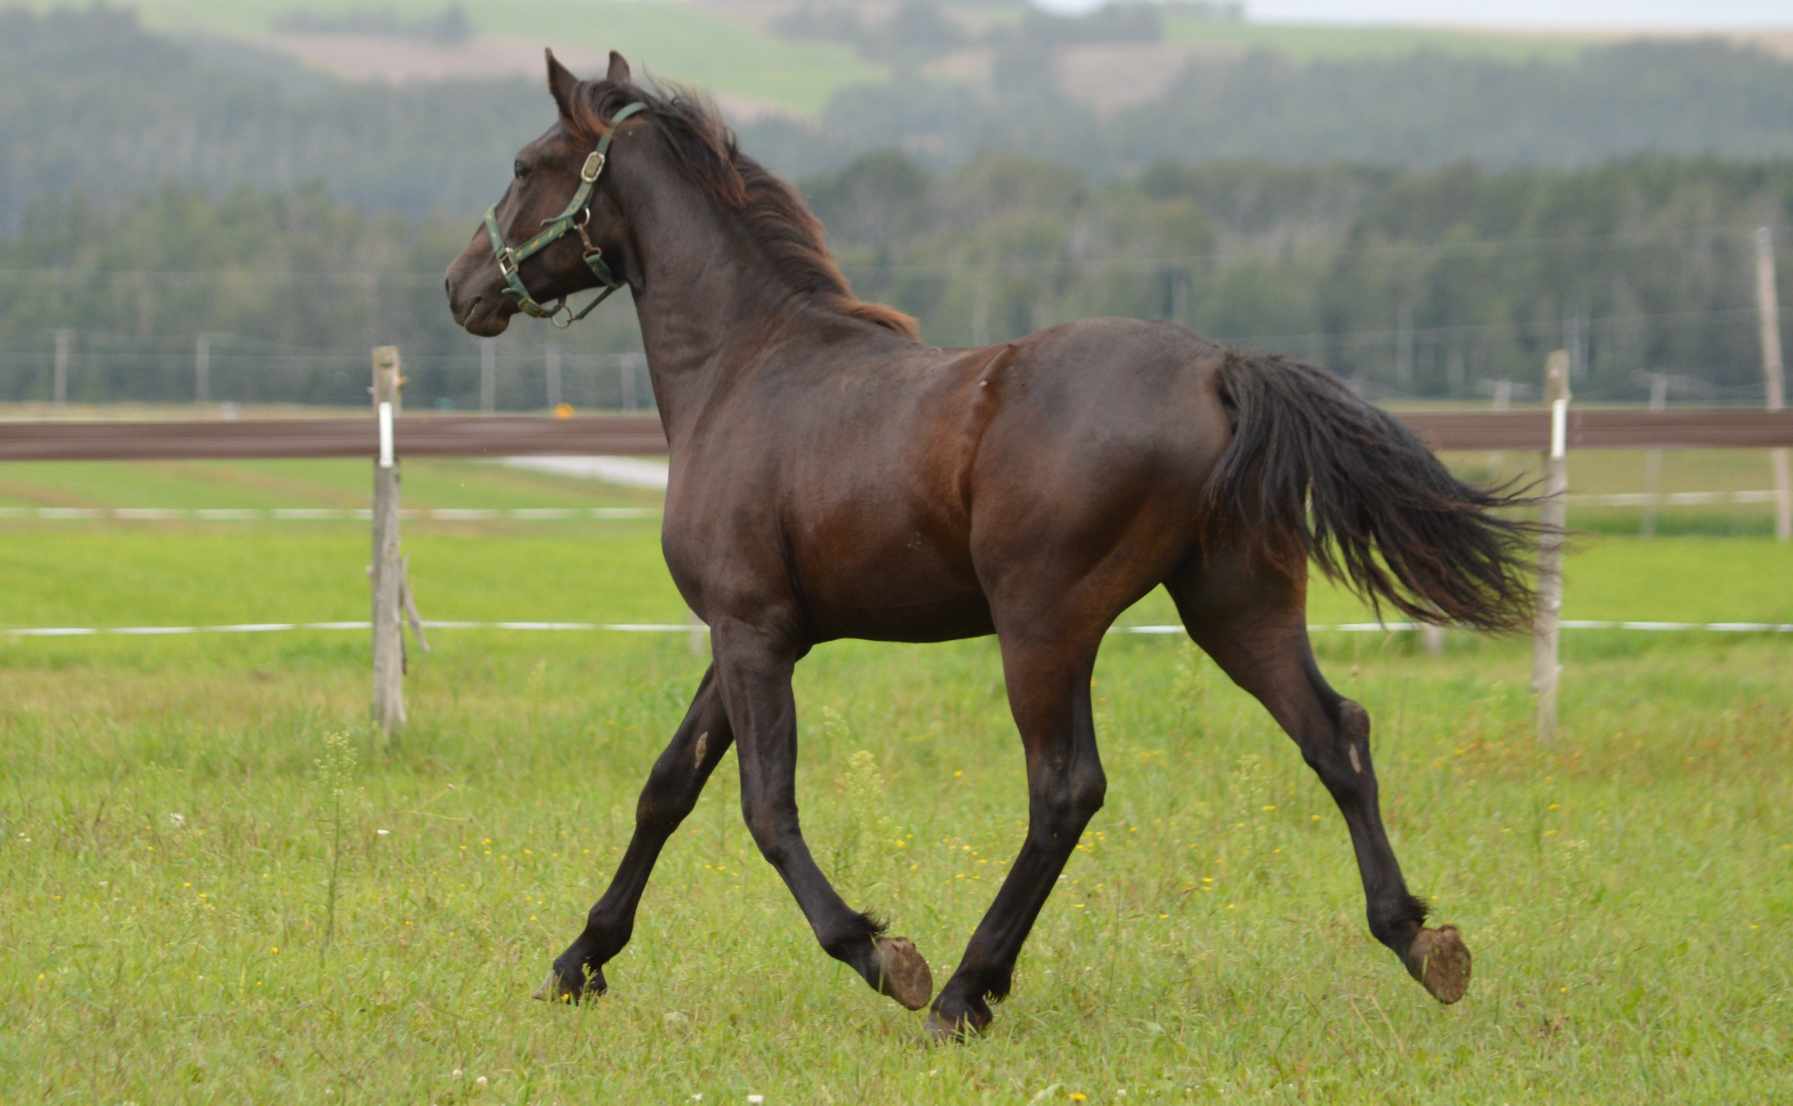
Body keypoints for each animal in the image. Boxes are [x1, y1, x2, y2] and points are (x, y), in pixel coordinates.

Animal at [444, 49, 1541, 1039]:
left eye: (528, 162)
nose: (461, 289)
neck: (743, 366)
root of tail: (1217, 370)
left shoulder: (750, 630)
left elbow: (763, 806)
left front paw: (880, 953)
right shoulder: (752, 630)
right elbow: (667, 787)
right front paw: (577, 962)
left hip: (1043, 624)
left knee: (1064, 789)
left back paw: (965, 991)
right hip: (1235, 605)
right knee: (1333, 733)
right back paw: (1420, 941)